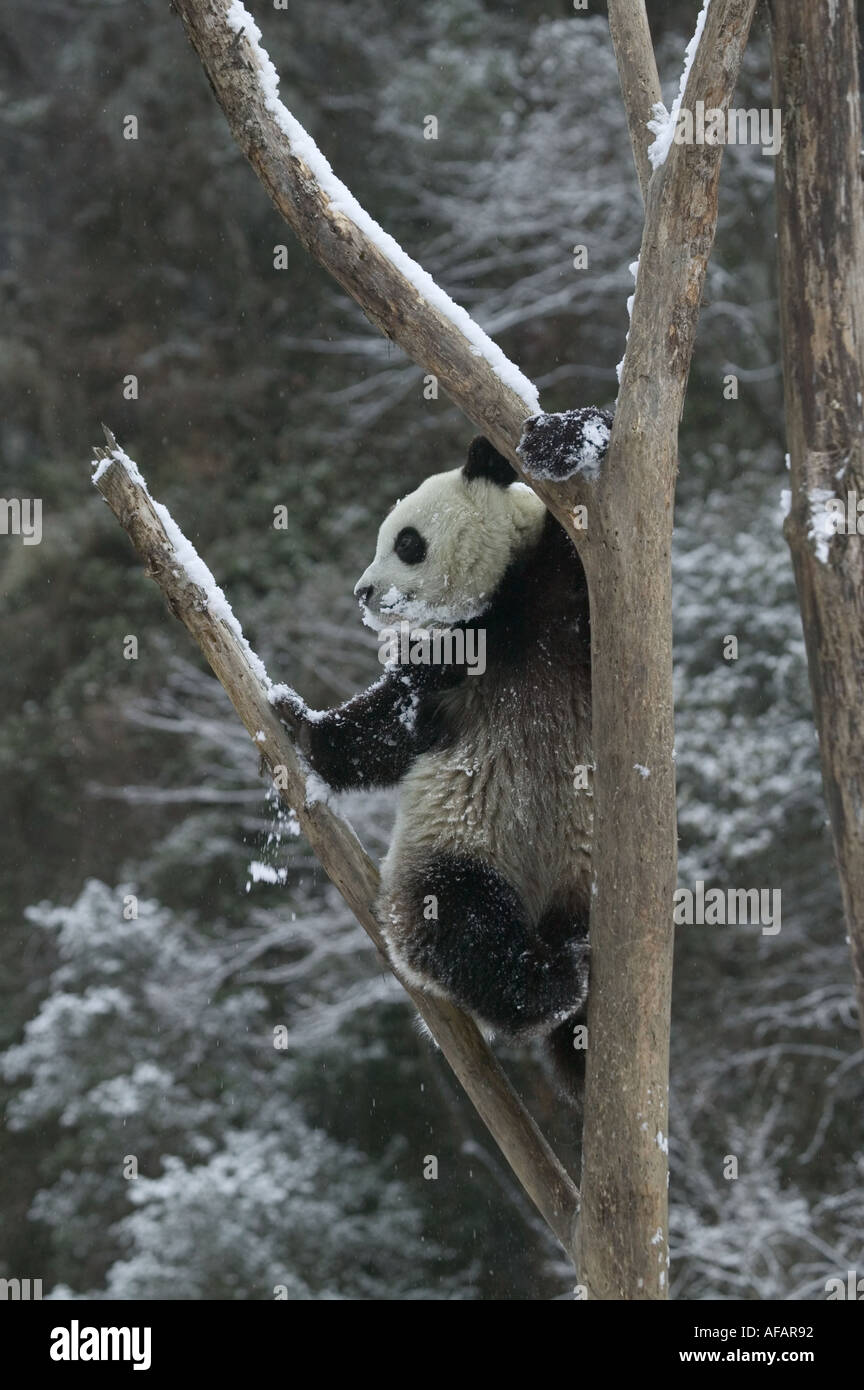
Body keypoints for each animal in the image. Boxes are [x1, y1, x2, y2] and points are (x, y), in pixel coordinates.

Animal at [273, 408, 612, 1097]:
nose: (363, 592)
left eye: (406, 541)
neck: (501, 606)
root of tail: (548, 914)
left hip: (584, 868)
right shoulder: (448, 667)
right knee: (458, 926)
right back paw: (549, 989)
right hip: (460, 846)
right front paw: (300, 724)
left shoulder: (556, 593)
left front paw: (561, 440)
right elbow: (387, 729)